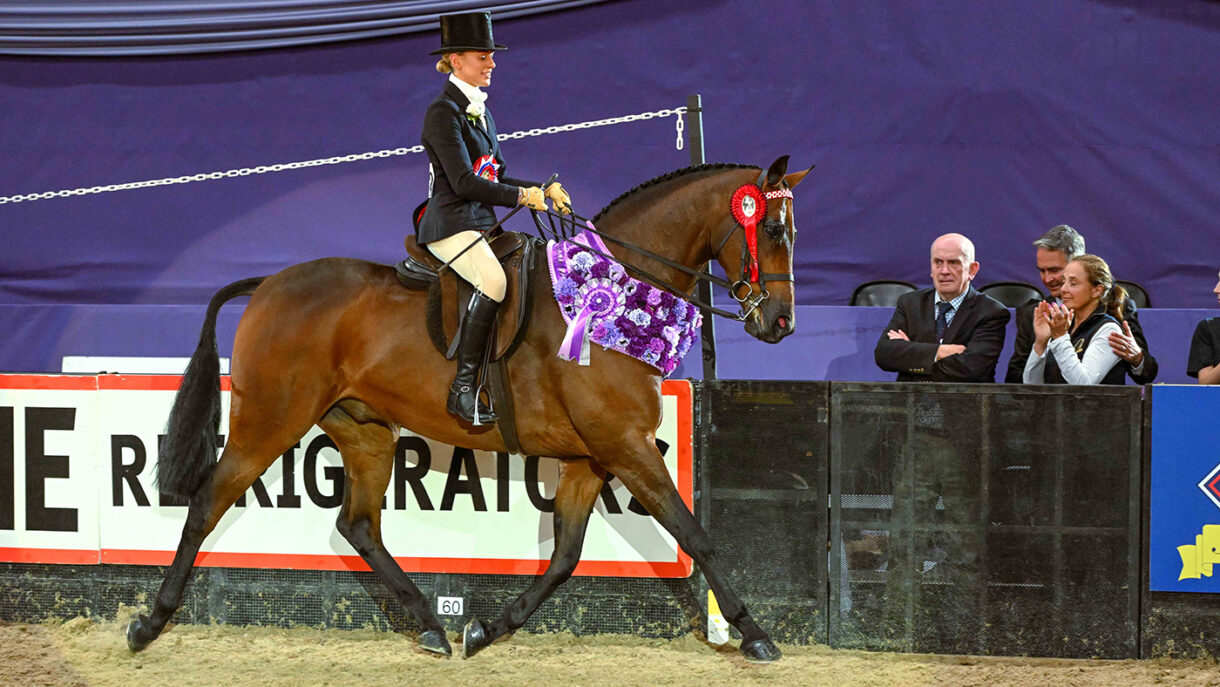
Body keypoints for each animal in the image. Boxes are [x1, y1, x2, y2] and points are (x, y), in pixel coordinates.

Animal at [125, 155, 812, 662]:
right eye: (773, 230)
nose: (780, 323)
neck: (612, 295)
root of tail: (268, 284)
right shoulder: (626, 447)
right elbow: (696, 536)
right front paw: (755, 634)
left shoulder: (592, 456)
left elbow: (565, 557)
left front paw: (486, 630)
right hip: (269, 420)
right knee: (208, 502)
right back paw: (150, 624)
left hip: (365, 430)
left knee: (358, 525)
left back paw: (432, 625)